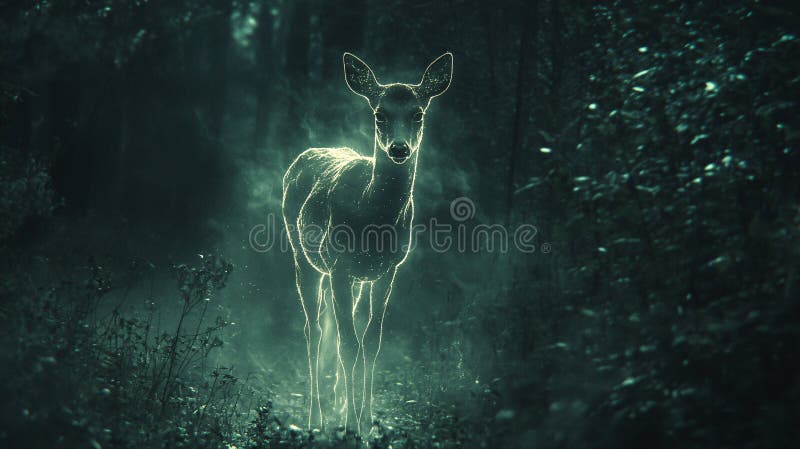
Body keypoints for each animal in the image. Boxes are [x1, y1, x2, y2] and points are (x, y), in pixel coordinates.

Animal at [281, 52, 452, 434]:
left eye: (418, 113)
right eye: (380, 114)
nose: (399, 148)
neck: (373, 213)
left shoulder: (389, 269)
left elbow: (370, 343)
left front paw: (366, 421)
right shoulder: (339, 266)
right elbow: (349, 345)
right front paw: (349, 425)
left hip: (357, 278)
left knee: (339, 329)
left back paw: (339, 404)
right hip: (306, 258)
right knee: (315, 330)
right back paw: (316, 418)